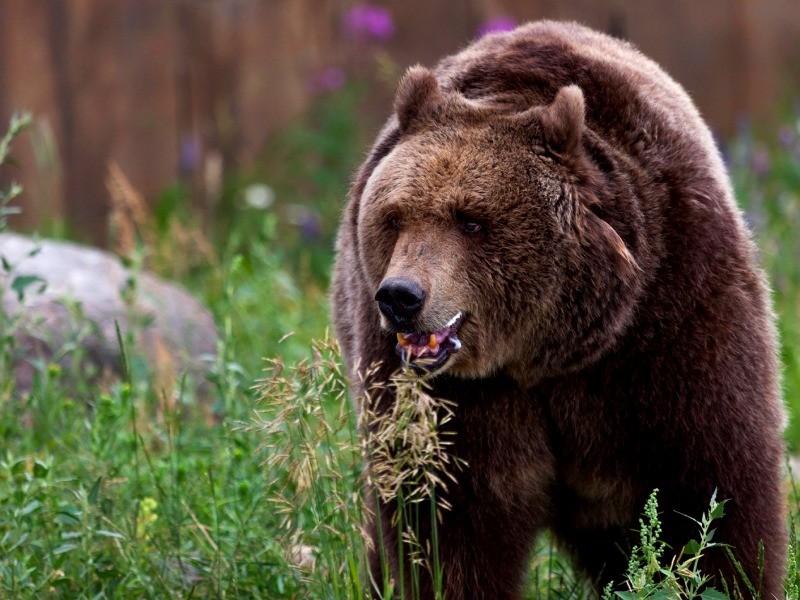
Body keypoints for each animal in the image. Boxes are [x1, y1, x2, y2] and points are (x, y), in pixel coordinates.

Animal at [331, 20, 787, 599]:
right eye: (394, 217)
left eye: (471, 220)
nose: (401, 296)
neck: (548, 349)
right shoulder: (452, 398)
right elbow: (444, 520)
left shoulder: (671, 322)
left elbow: (713, 486)